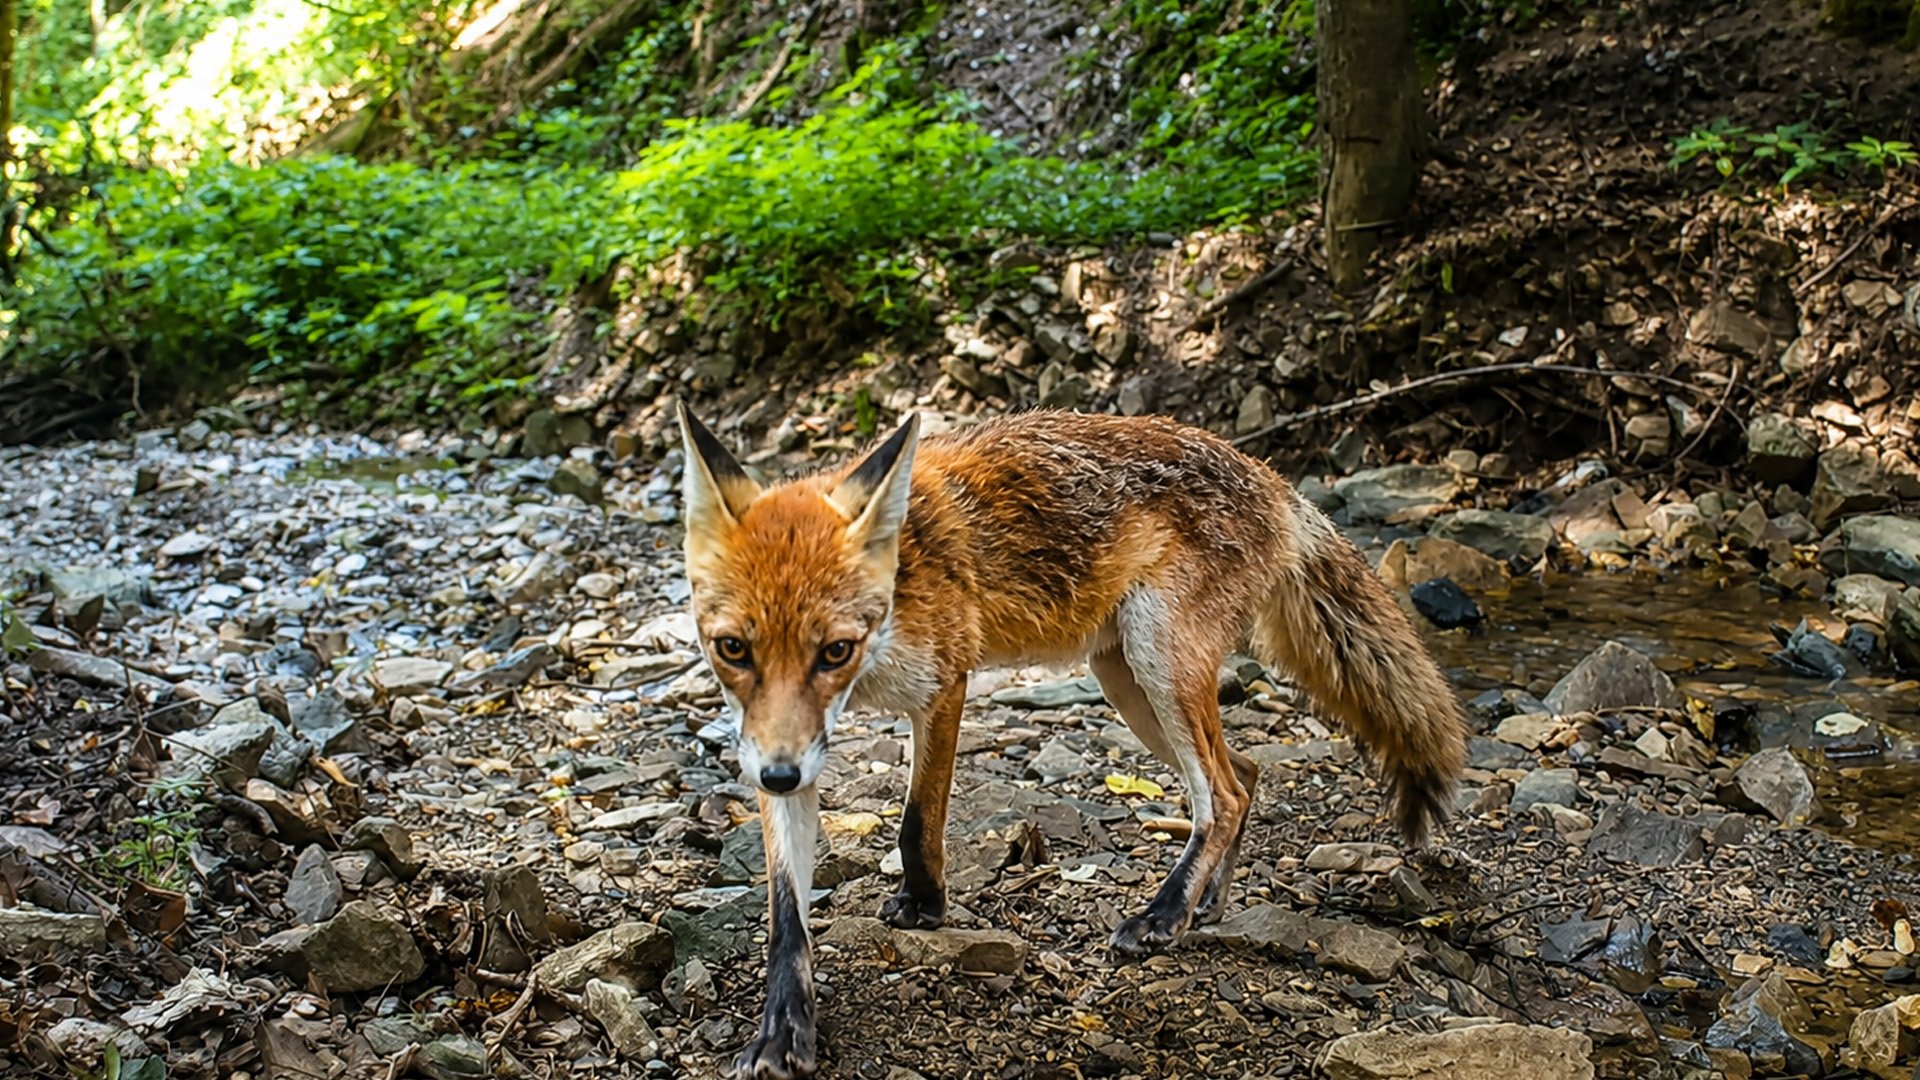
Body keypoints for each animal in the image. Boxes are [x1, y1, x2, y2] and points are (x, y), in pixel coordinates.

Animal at [675, 404, 1467, 1080]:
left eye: (834, 651)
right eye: (733, 649)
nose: (775, 779)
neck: (898, 590)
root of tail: (1272, 477)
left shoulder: (944, 686)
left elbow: (915, 823)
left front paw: (926, 907)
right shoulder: (782, 741)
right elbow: (786, 912)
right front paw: (783, 1028)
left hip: (1158, 662)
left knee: (1222, 790)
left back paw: (1164, 915)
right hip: (1127, 684)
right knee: (1242, 777)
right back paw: (1206, 902)